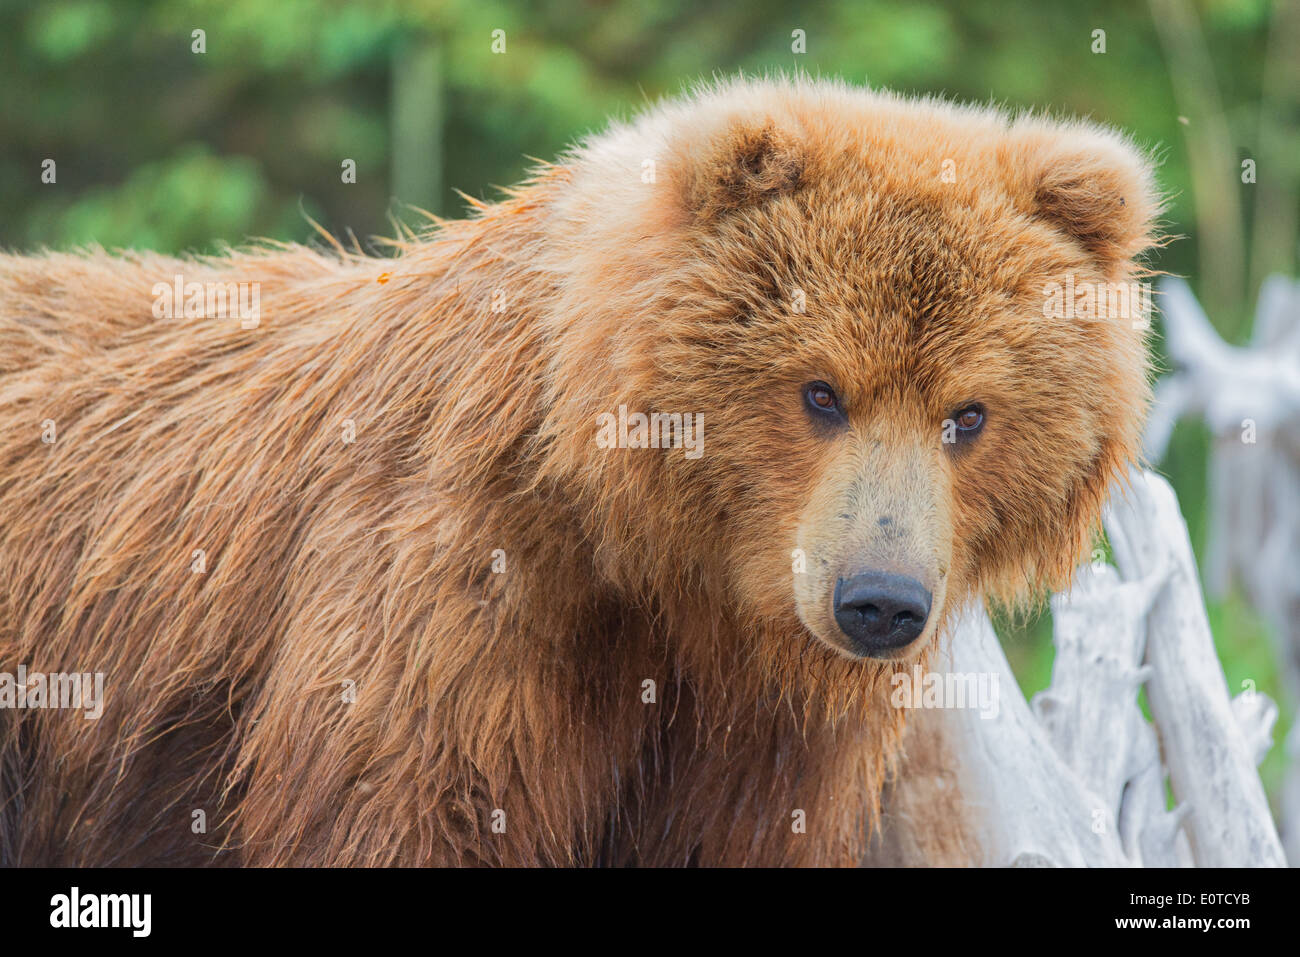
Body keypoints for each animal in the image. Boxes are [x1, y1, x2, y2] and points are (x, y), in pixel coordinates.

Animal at [0, 75, 1160, 867]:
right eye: (821, 390)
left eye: (969, 412)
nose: (878, 600)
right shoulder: (463, 598)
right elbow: (421, 806)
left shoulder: (766, 733)